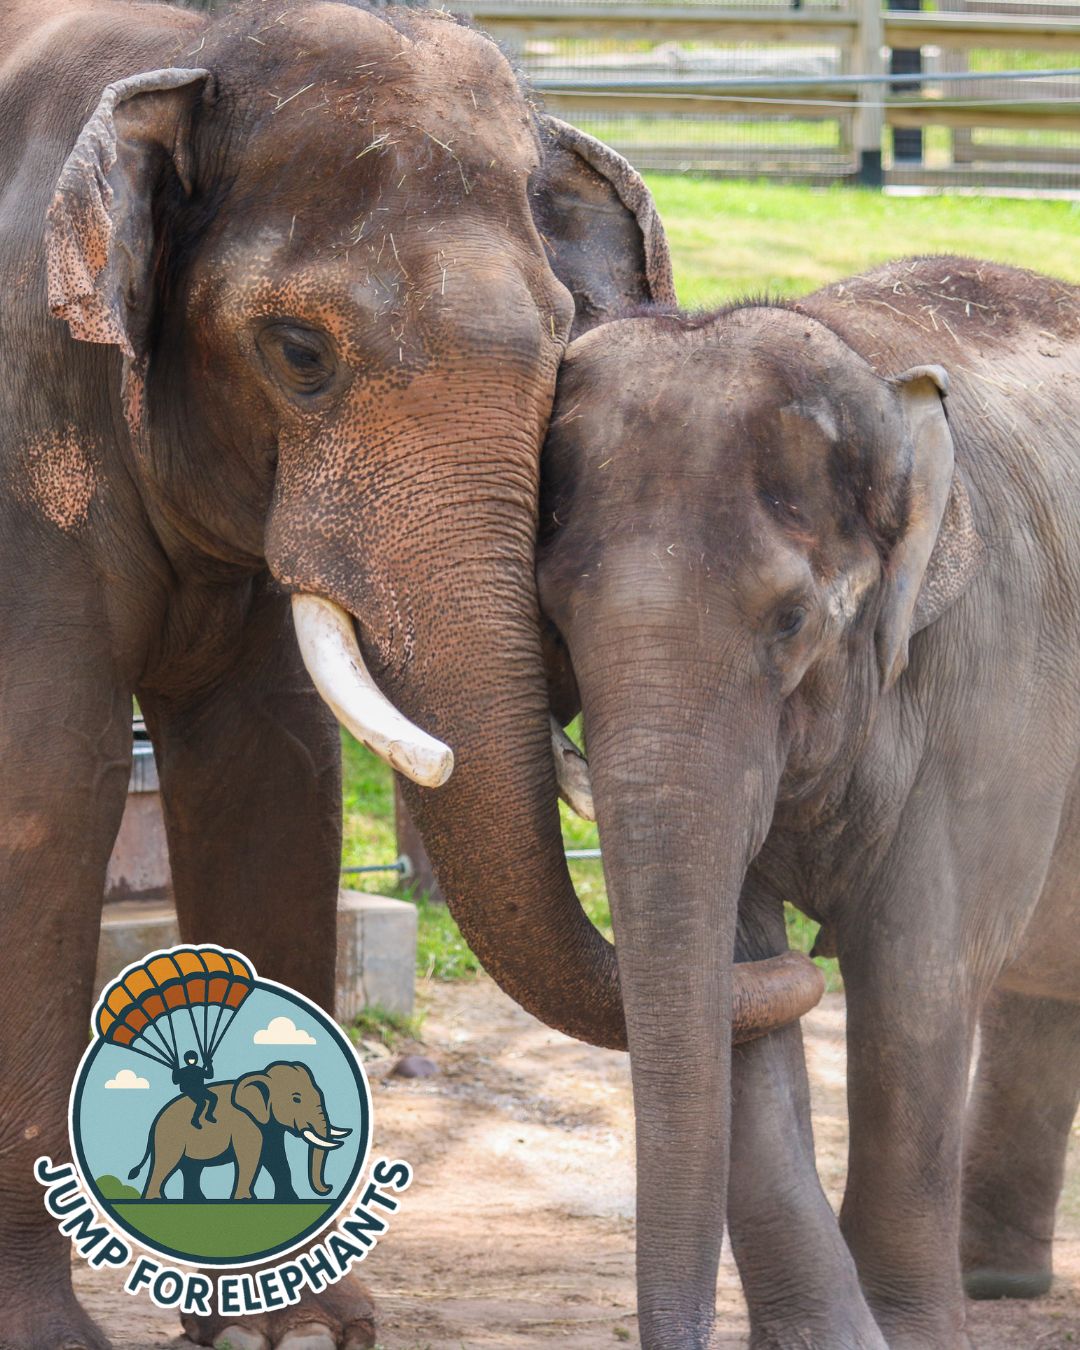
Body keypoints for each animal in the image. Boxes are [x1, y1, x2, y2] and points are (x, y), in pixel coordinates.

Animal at [129, 1061, 349, 1203]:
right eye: (296, 1099)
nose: (330, 1187)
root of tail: (154, 1122)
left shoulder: (270, 1127)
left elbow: (276, 1158)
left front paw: (290, 1200)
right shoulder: (246, 1124)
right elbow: (252, 1157)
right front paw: (247, 1200)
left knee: (191, 1168)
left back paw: (197, 1201)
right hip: (169, 1139)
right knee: (167, 1164)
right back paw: (156, 1200)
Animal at [536, 258, 1080, 1348]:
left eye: (791, 621)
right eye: (554, 618)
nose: (809, 960)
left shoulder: (998, 683)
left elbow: (916, 980)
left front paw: (908, 1340)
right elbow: (740, 974)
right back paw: (999, 1283)